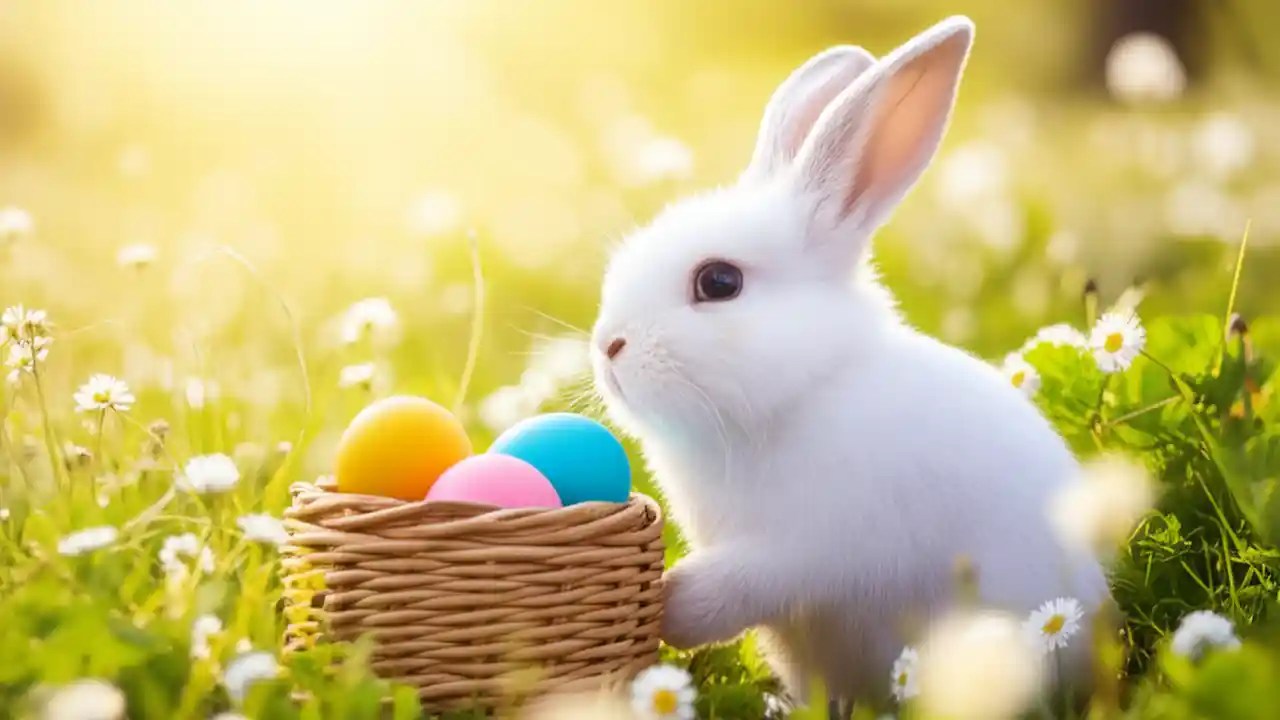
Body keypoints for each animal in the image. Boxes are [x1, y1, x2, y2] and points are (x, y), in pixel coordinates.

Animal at [590, 15, 1110, 709]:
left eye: (719, 282)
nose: (607, 346)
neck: (805, 390)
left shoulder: (814, 548)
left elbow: (745, 583)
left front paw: (674, 604)